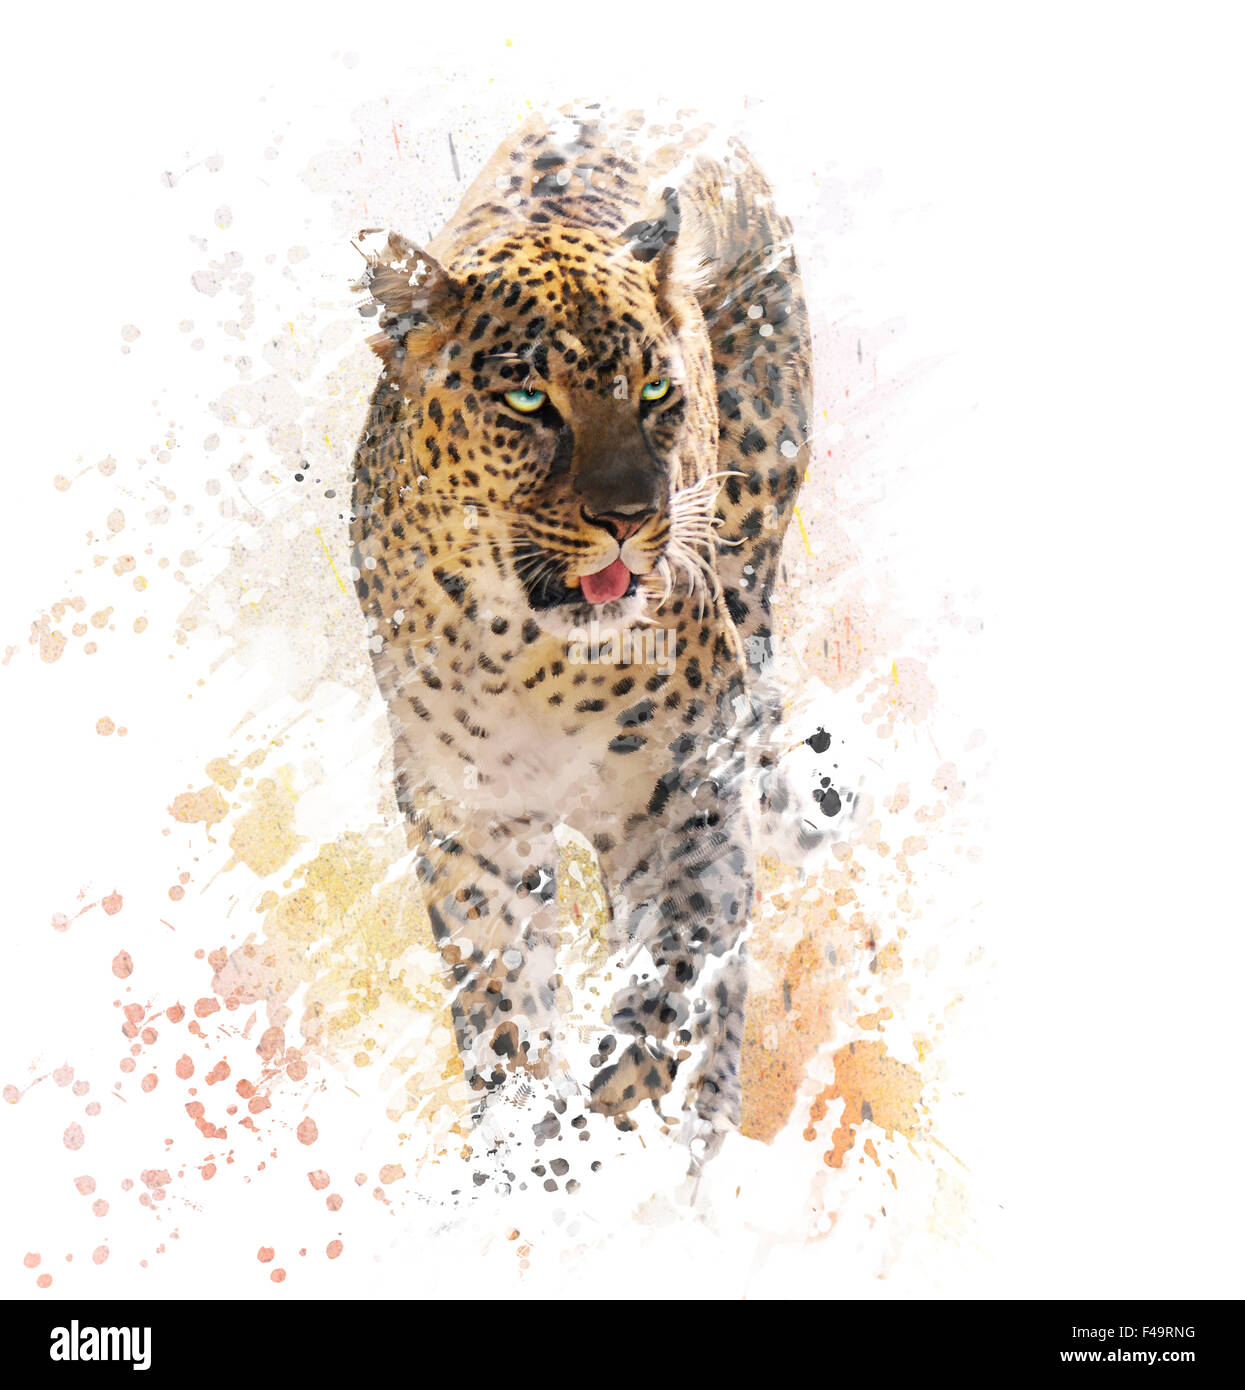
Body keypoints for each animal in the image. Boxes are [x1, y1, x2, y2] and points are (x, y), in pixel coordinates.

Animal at [349, 102, 822, 1170]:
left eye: (654, 393)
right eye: (528, 401)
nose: (629, 516)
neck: (533, 661)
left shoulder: (691, 792)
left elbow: (676, 968)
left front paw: (624, 1106)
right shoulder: (465, 817)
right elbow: (499, 1006)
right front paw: (533, 1159)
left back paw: (704, 1134)